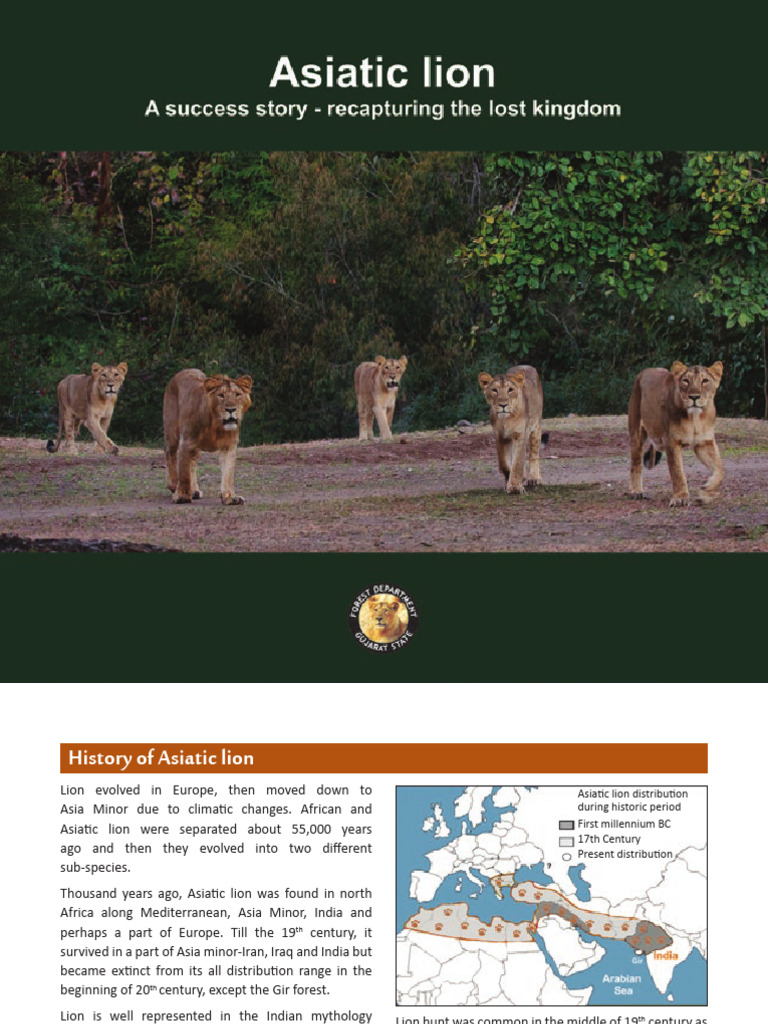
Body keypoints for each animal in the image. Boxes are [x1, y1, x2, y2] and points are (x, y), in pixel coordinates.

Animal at [163, 369, 253, 505]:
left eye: (237, 394)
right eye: (221, 395)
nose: (231, 409)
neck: (216, 425)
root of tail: (184, 371)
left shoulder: (229, 446)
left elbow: (228, 473)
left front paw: (230, 497)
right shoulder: (186, 442)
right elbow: (184, 472)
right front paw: (182, 496)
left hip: (194, 449)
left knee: (192, 464)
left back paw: (194, 490)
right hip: (172, 431)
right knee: (170, 454)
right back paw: (174, 485)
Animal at [479, 365, 546, 494]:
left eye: (510, 389)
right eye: (494, 390)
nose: (503, 405)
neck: (506, 419)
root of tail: (526, 365)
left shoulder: (520, 435)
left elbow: (518, 462)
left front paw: (515, 487)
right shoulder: (500, 436)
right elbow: (504, 463)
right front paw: (510, 480)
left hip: (536, 427)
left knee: (533, 454)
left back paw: (534, 478)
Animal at [628, 360, 724, 506]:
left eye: (705, 381)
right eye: (686, 381)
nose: (694, 397)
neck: (695, 418)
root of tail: (644, 371)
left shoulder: (704, 443)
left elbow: (720, 469)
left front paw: (705, 493)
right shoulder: (671, 441)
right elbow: (677, 471)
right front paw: (680, 498)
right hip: (636, 433)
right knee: (636, 463)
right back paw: (636, 491)